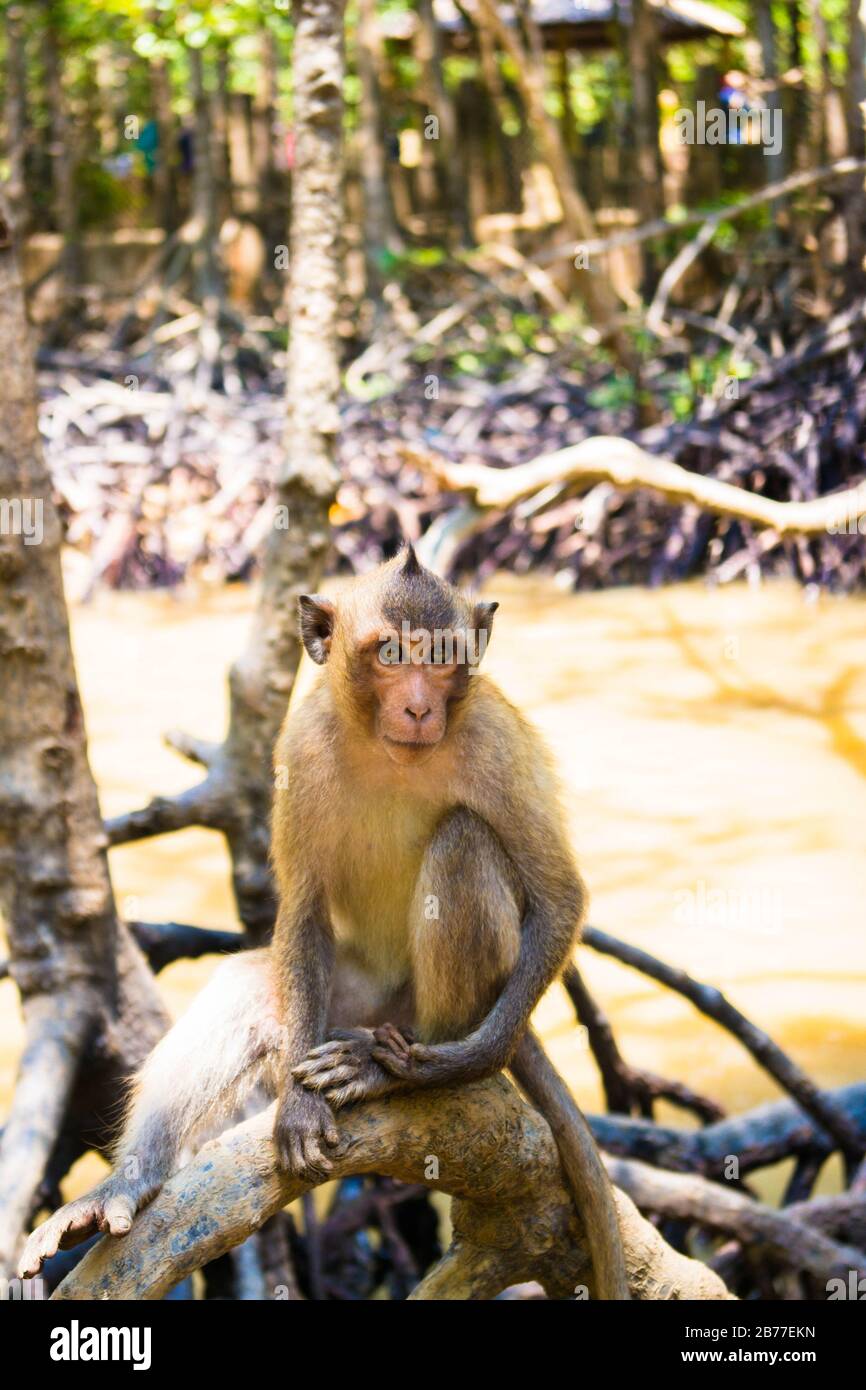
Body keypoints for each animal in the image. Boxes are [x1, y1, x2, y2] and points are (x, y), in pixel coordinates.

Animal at [20, 546, 628, 1300]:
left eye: (442, 659)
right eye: (391, 654)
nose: (420, 706)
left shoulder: (496, 741)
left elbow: (560, 895)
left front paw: (452, 1067)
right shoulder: (301, 749)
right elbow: (304, 908)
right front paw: (299, 1109)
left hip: (428, 1008)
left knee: (463, 842)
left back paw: (412, 1069)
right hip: (343, 1005)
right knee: (249, 992)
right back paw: (126, 1186)